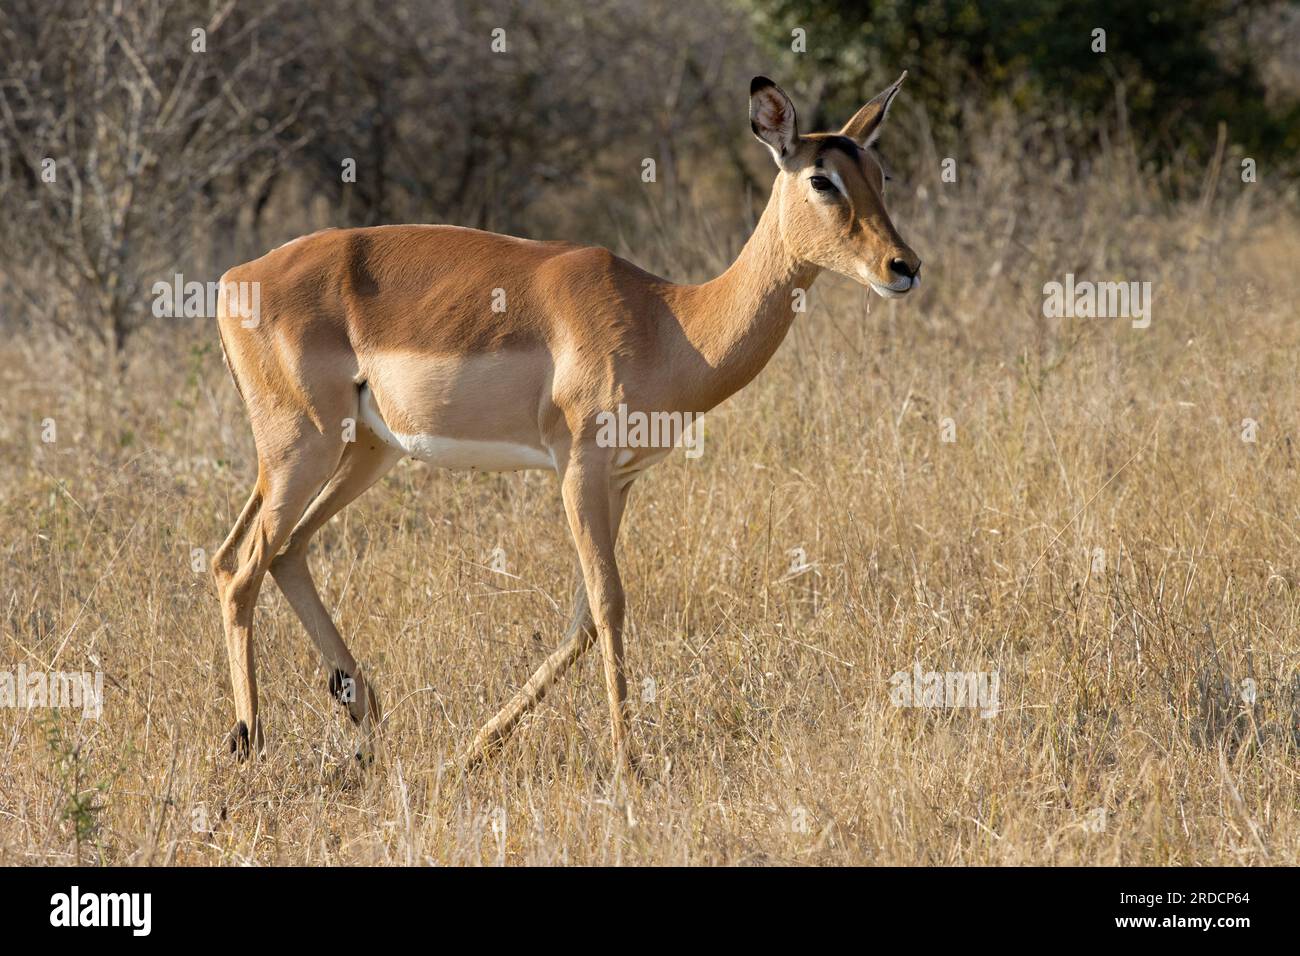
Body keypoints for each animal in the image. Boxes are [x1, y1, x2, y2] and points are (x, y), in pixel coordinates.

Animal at [212, 74, 921, 777]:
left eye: (880, 172)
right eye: (822, 179)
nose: (904, 266)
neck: (671, 322)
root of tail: (234, 278)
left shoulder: (620, 480)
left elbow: (581, 621)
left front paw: (472, 749)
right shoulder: (580, 468)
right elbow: (609, 603)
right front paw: (627, 762)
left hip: (361, 450)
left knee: (279, 553)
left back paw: (365, 712)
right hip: (302, 448)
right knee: (241, 567)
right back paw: (249, 740)